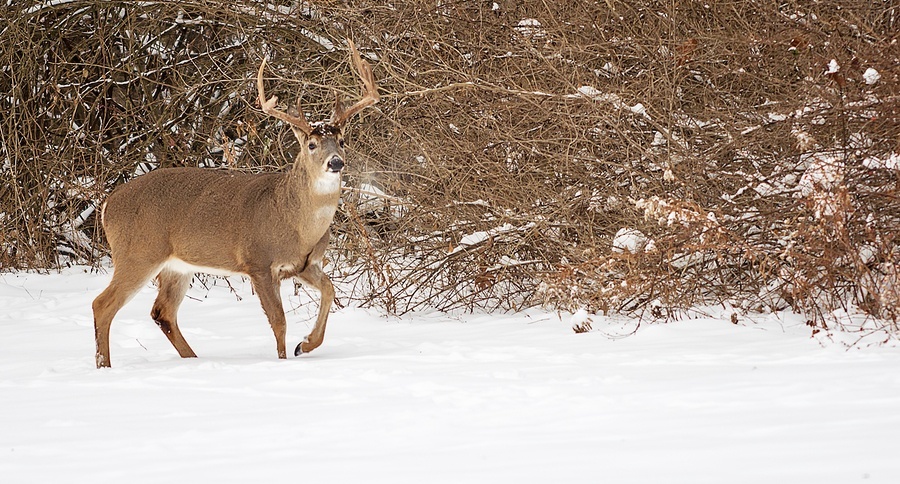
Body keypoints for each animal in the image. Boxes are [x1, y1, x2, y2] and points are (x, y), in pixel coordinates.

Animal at [91, 40, 379, 368]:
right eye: (311, 144)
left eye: (342, 141)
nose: (336, 162)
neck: (296, 223)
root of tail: (107, 204)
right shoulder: (259, 262)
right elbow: (279, 321)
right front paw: (284, 360)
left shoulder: (304, 265)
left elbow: (329, 289)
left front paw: (304, 345)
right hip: (138, 253)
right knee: (103, 304)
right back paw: (105, 366)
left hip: (176, 265)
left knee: (162, 311)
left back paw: (193, 360)